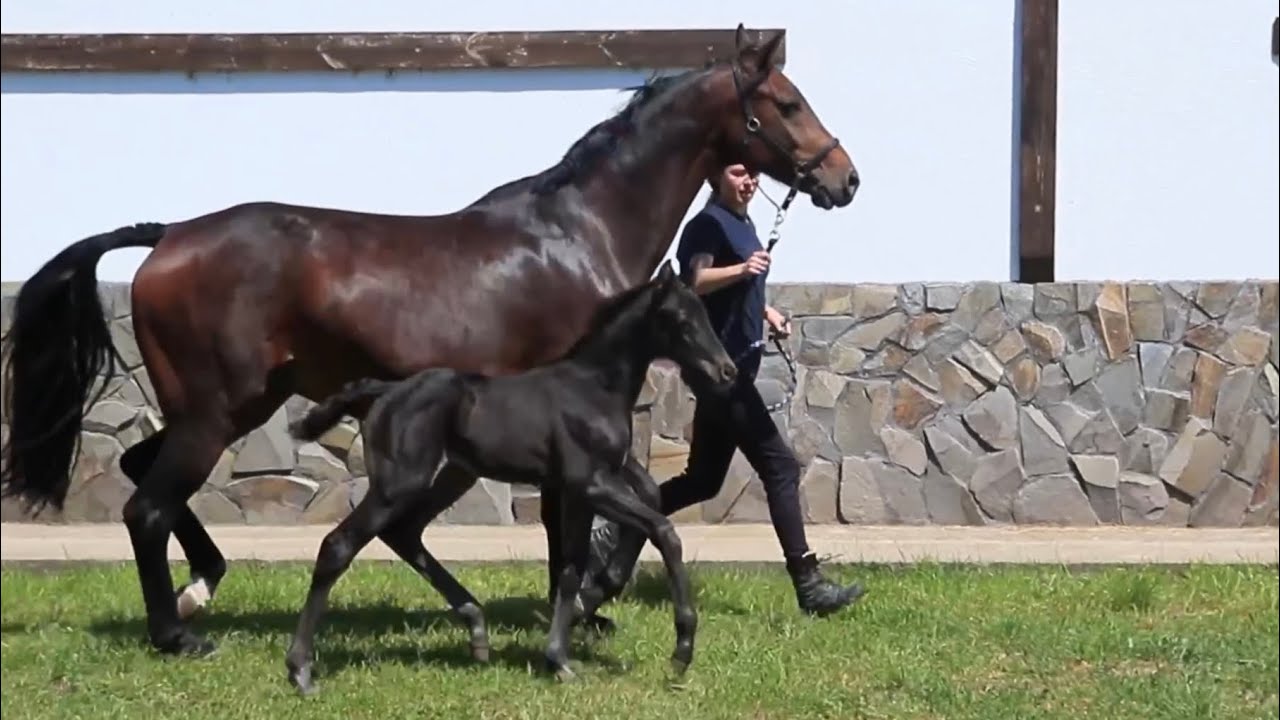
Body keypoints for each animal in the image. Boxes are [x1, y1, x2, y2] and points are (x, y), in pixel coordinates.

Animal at [282, 260, 736, 693]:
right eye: (680, 319)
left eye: (704, 313)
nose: (727, 371)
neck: (593, 389)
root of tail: (385, 391)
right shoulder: (591, 483)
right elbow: (664, 531)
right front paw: (682, 650)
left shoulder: (580, 490)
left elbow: (571, 568)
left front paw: (558, 658)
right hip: (400, 484)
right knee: (339, 545)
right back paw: (301, 670)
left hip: (451, 476)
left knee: (404, 533)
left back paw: (476, 629)